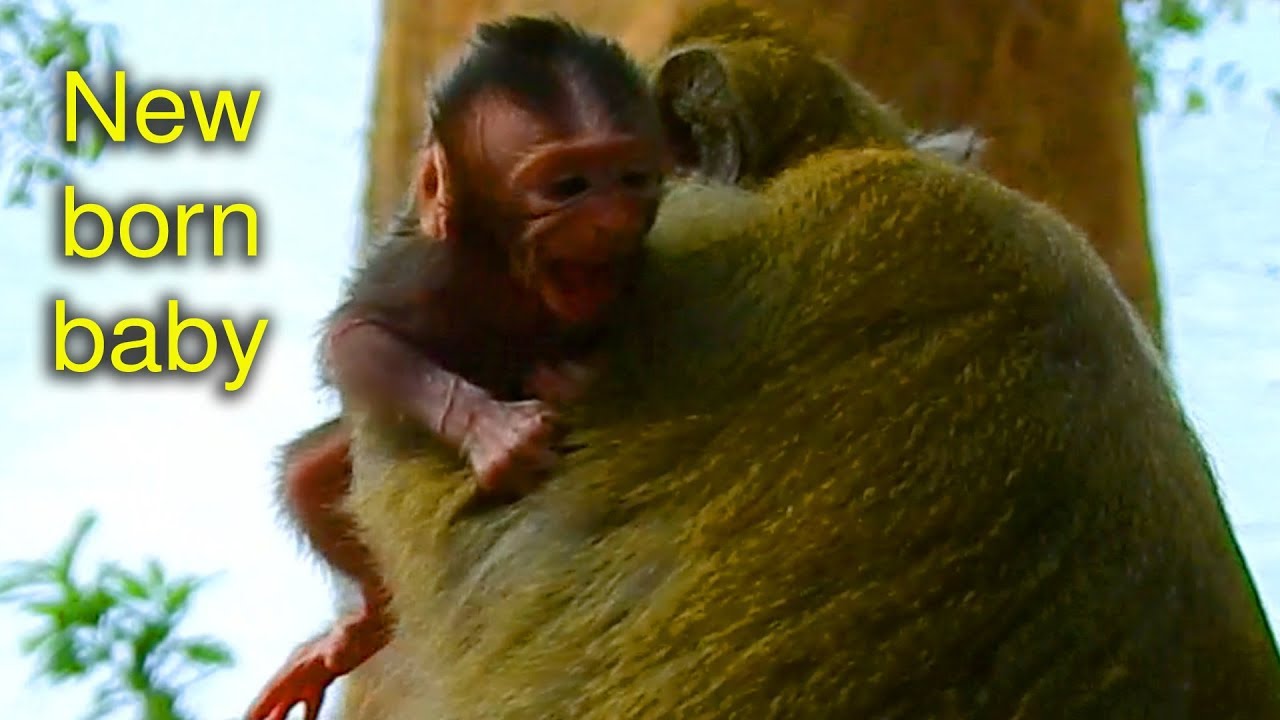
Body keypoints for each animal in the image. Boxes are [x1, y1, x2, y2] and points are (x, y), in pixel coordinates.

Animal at [246, 16, 671, 720]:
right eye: (568, 187)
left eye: (632, 177)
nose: (612, 217)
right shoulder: (430, 268)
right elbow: (358, 339)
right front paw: (492, 430)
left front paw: (562, 376)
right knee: (310, 477)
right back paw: (370, 624)